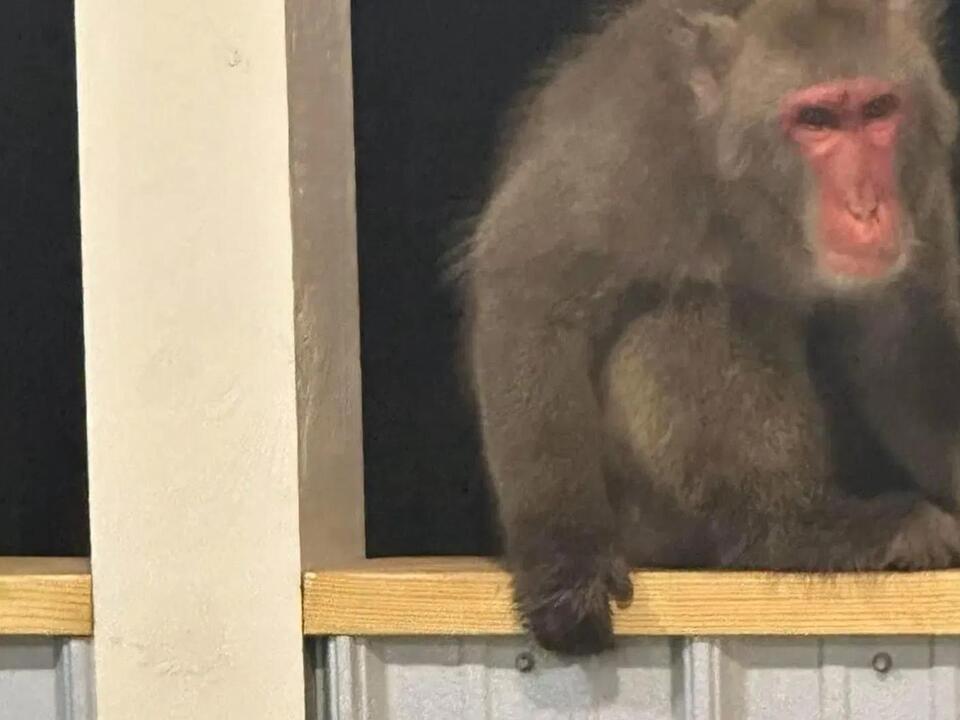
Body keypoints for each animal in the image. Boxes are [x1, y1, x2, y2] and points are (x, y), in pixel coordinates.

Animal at [455, 0, 960, 656]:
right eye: (816, 119)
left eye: (878, 110)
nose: (867, 207)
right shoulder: (625, 144)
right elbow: (528, 293)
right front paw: (563, 565)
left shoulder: (919, 188)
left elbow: (900, 352)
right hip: (644, 517)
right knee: (695, 311)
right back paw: (793, 530)